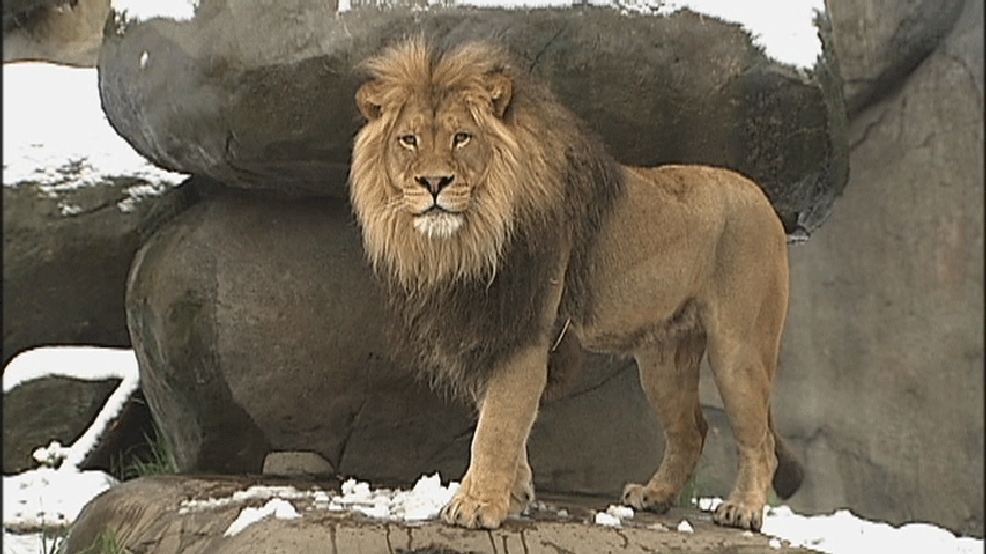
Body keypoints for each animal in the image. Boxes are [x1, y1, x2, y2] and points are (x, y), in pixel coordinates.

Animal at [349, 37, 804, 533]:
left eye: (461, 137)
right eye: (408, 140)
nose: (434, 182)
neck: (468, 239)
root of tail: (764, 200)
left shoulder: (526, 327)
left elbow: (497, 425)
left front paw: (474, 505)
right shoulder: (487, 328)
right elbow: (502, 416)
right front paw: (514, 494)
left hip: (738, 348)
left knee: (759, 441)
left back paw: (744, 509)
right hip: (663, 362)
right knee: (692, 431)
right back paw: (655, 495)